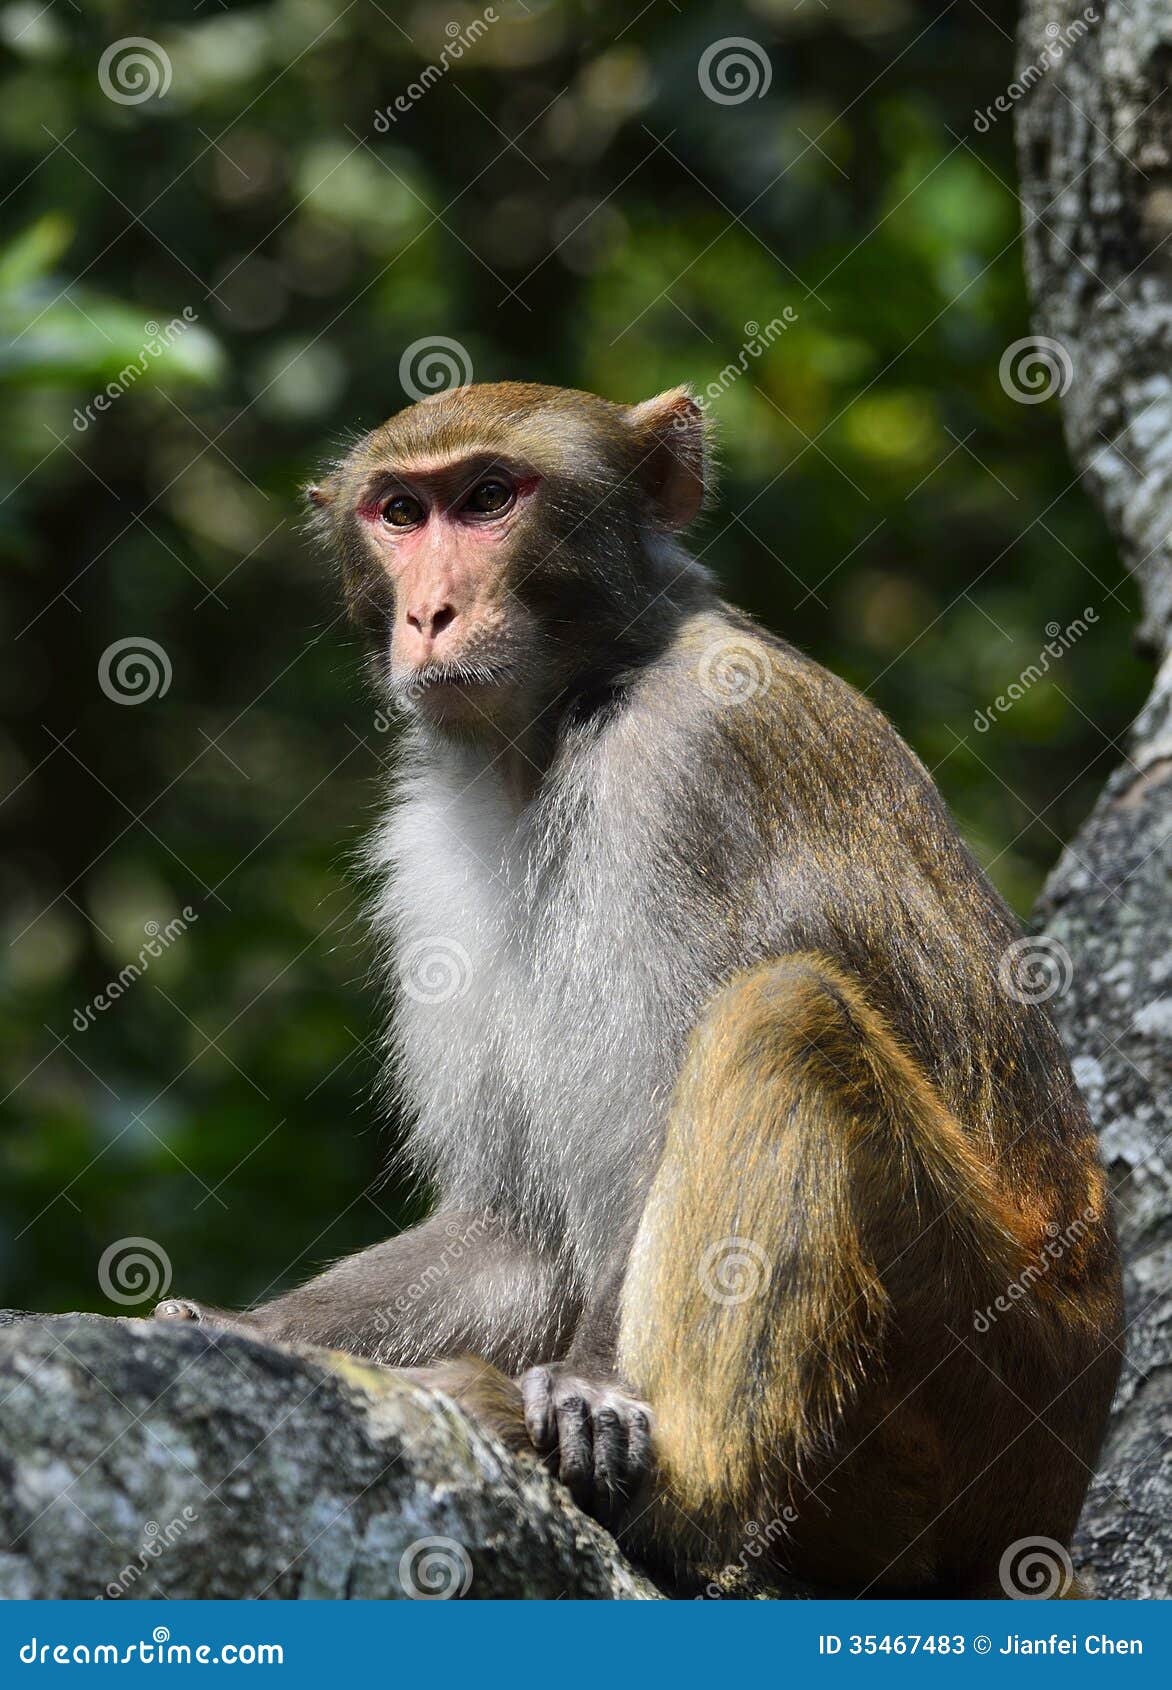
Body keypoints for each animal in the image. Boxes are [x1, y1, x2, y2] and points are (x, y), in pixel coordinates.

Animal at [155, 381, 1122, 1597]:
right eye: (399, 513)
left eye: (489, 499)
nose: (428, 615)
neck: (568, 714)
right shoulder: (429, 852)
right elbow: (515, 1231)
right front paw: (232, 1328)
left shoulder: (677, 768)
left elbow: (647, 1129)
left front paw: (589, 1396)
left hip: (980, 1401)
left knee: (784, 1017)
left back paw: (682, 1498)